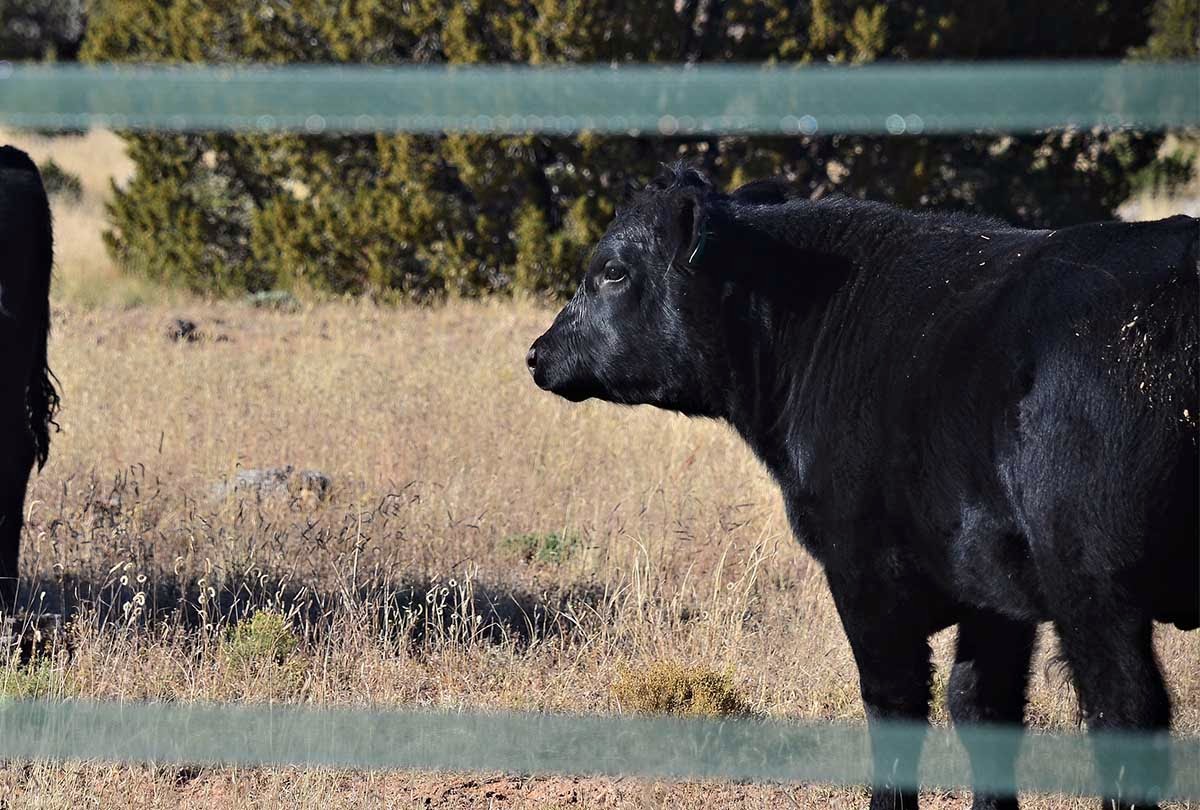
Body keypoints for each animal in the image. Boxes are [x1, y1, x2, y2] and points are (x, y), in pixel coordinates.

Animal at [527, 163, 1199, 810]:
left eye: (612, 271)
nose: (537, 353)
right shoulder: (992, 588)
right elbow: (980, 706)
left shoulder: (863, 568)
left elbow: (894, 702)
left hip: (1094, 582)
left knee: (1124, 716)